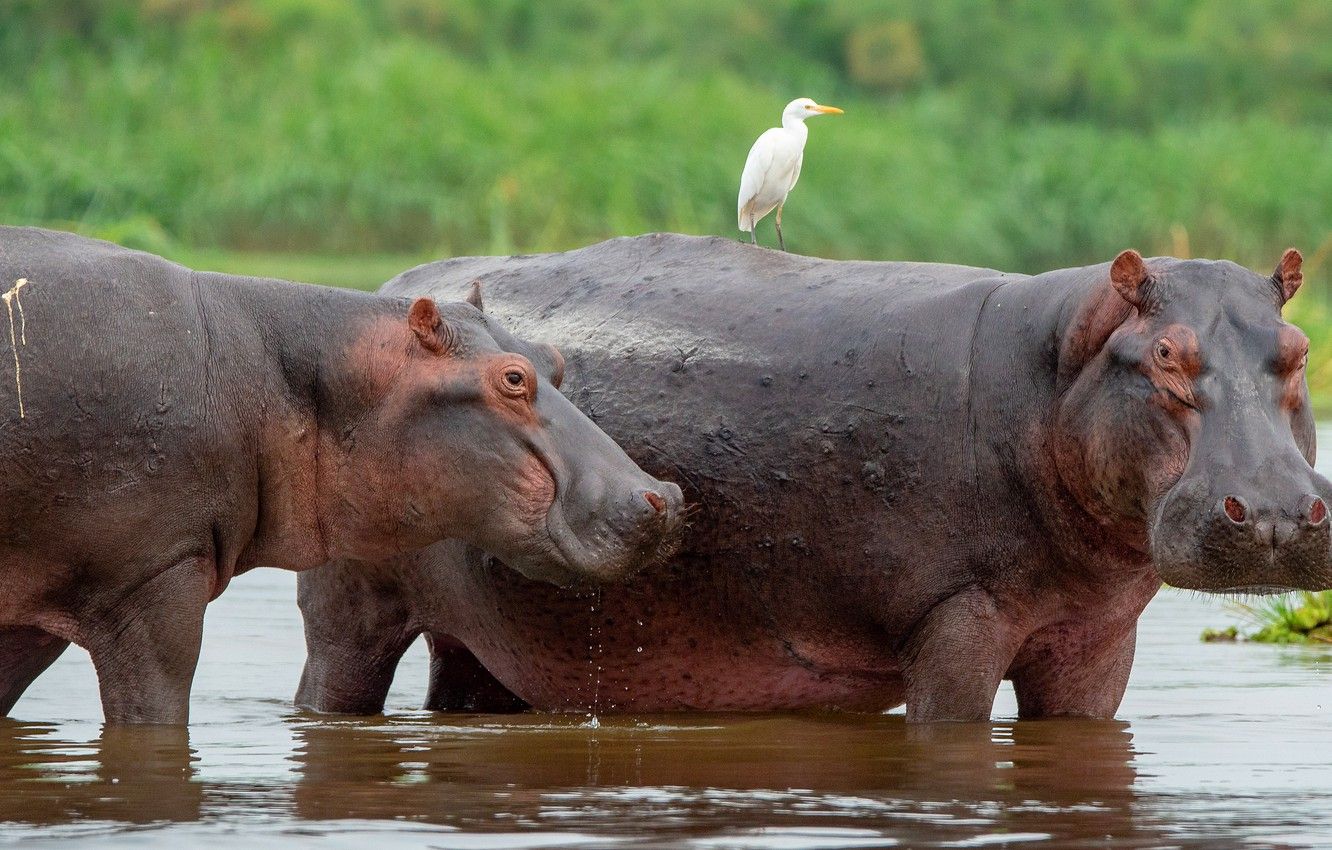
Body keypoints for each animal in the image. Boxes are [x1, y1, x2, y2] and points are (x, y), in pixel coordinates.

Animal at [0, 226, 682, 724]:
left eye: (555, 360)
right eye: (513, 378)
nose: (664, 496)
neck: (276, 375)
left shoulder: (27, 614)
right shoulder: (154, 580)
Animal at [296, 233, 1329, 722]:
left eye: (1300, 351)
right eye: (1164, 356)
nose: (1279, 514)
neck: (1058, 367)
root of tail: (393, 291)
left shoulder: (1097, 639)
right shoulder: (957, 619)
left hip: (485, 632)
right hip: (352, 607)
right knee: (332, 683)